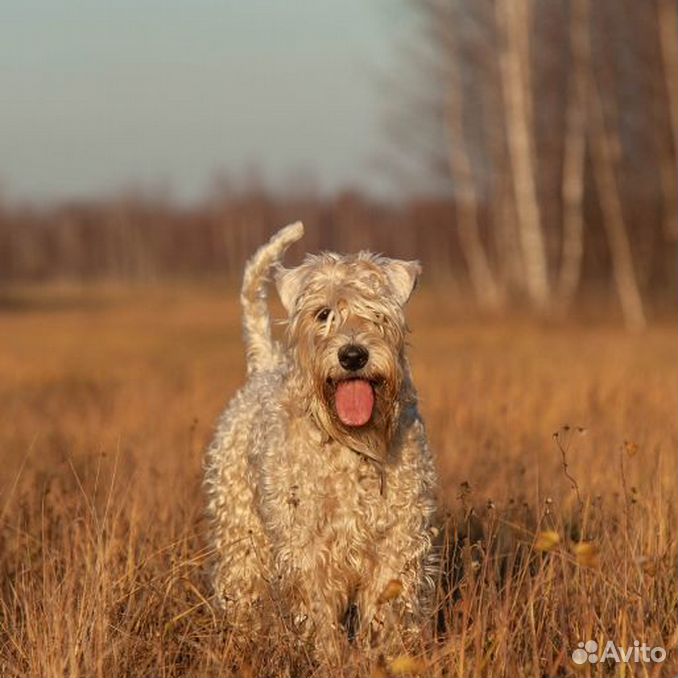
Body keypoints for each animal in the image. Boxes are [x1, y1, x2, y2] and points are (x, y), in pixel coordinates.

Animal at [205, 226, 440, 660]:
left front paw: (383, 657)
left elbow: (386, 609)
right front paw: (329, 657)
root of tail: (263, 365)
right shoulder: (307, 546)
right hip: (241, 530)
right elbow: (319, 614)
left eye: (378, 313)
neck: (351, 445)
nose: (353, 355)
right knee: (241, 584)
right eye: (323, 314)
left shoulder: (397, 541)